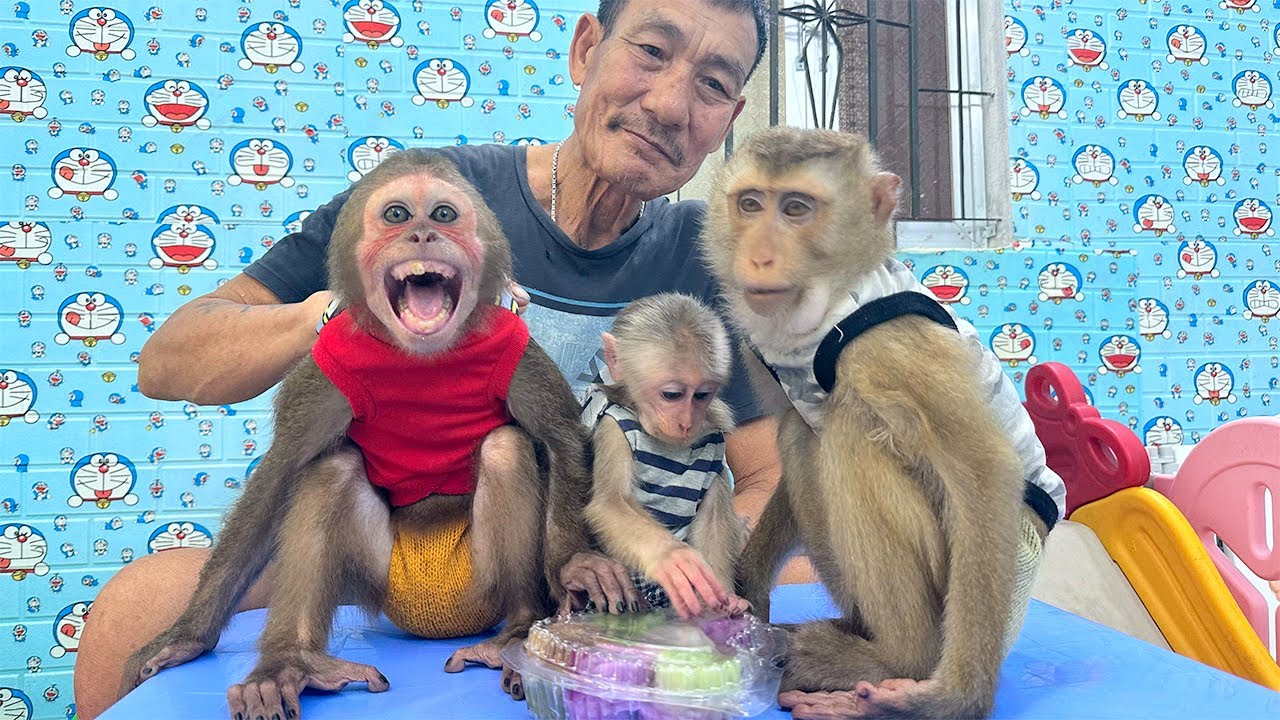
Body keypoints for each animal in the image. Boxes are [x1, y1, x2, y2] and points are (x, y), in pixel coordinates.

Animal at [120, 149, 595, 720]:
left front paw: (575, 571)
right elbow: (279, 473)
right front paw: (189, 635)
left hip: (479, 583)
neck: (422, 358)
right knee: (331, 469)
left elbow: (562, 441)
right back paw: (291, 663)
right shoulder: (331, 364)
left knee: (507, 448)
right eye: (396, 215)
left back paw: (516, 632)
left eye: (443, 215)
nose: (420, 235)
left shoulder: (512, 347)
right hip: (379, 577)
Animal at [579, 293, 750, 619]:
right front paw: (672, 556)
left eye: (702, 395)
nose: (686, 422)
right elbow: (610, 504)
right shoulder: (613, 430)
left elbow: (713, 520)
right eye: (672, 395)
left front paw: (726, 599)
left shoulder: (715, 444)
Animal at [701, 127, 1063, 719]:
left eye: (797, 209)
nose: (758, 257)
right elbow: (790, 427)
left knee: (849, 432)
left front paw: (955, 698)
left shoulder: (890, 344)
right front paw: (747, 582)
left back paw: (894, 661)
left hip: (985, 579)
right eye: (750, 204)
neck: (832, 296)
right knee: (804, 437)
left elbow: (982, 467)